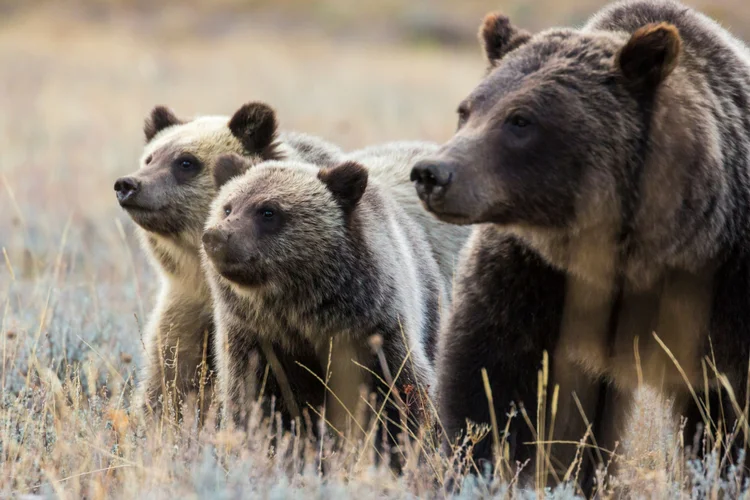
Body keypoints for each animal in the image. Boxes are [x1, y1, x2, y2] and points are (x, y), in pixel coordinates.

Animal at [200, 148, 466, 467]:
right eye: (227, 207)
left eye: (268, 211)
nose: (216, 236)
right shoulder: (256, 341)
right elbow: (255, 403)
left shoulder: (373, 332)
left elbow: (403, 399)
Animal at [410, 0, 750, 491]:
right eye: (466, 109)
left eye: (521, 119)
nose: (432, 173)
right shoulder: (535, 278)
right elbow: (499, 386)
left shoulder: (726, 284)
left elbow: (729, 420)